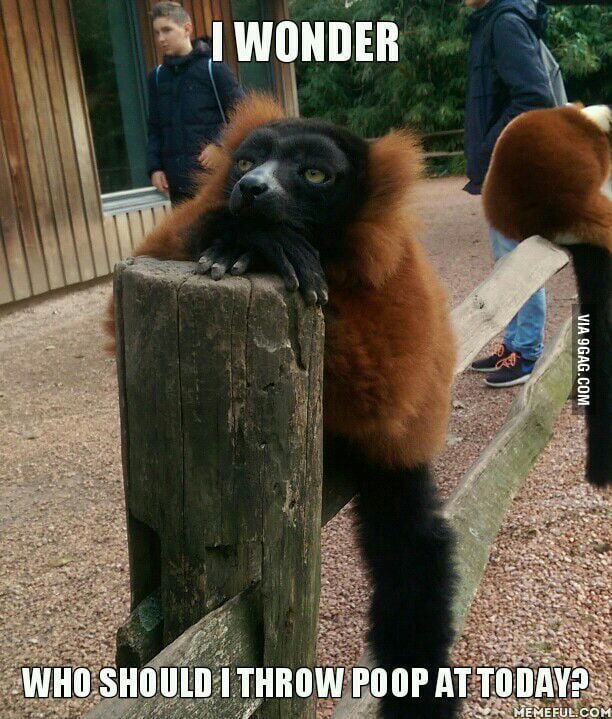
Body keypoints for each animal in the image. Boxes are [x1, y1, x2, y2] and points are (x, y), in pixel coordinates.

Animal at [105, 93, 458, 718]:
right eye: (246, 163)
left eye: (314, 175)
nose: (251, 190)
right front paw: (242, 235)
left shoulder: (399, 282)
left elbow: (385, 393)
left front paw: (256, 240)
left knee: (415, 549)